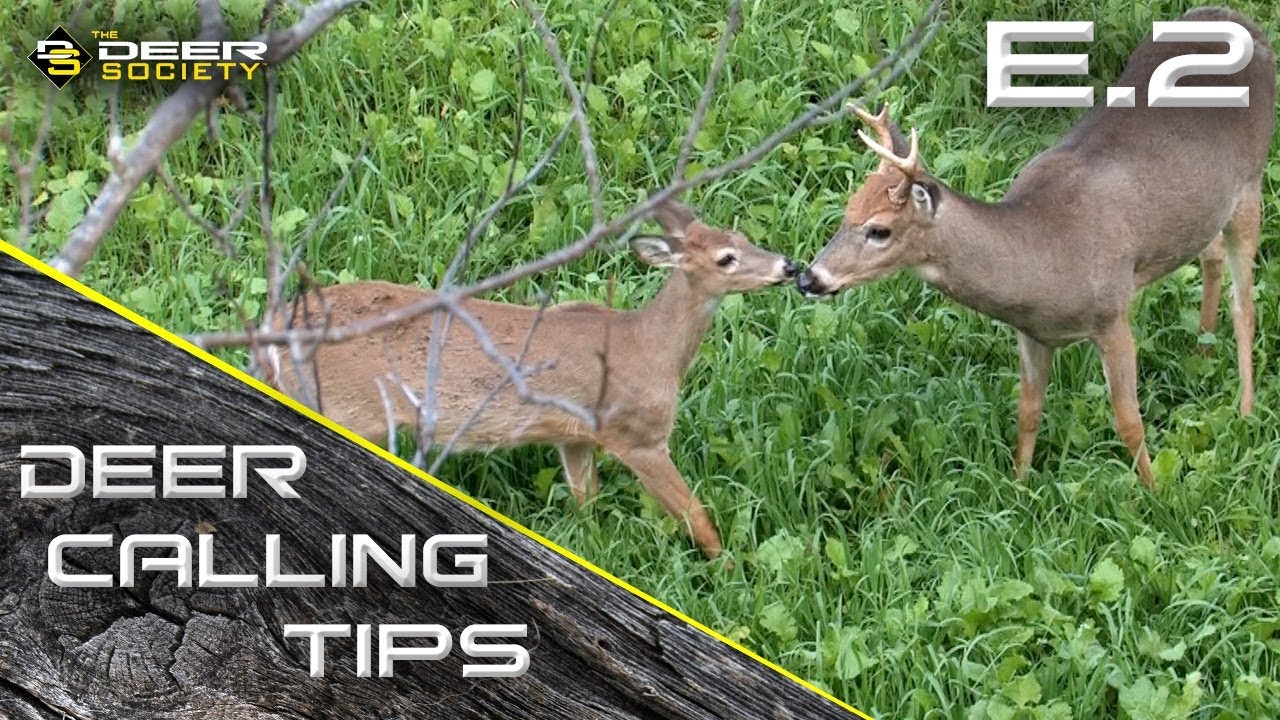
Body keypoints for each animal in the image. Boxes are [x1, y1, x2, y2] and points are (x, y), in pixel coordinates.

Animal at [266, 199, 798, 560]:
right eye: (725, 258)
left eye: (743, 235)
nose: (789, 266)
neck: (649, 349)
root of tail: (273, 334)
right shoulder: (637, 433)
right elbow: (697, 518)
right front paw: (728, 570)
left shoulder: (576, 436)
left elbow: (586, 501)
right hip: (346, 408)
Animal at [796, 7, 1275, 489]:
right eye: (846, 211)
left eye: (879, 230)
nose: (809, 277)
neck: (1043, 254)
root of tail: (1240, 22)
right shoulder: (1030, 333)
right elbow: (1027, 413)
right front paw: (1019, 487)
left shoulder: (1111, 310)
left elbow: (1128, 420)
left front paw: (1154, 492)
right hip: (1208, 207)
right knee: (1211, 255)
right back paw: (1203, 349)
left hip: (1249, 183)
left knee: (1245, 304)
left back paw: (1245, 409)